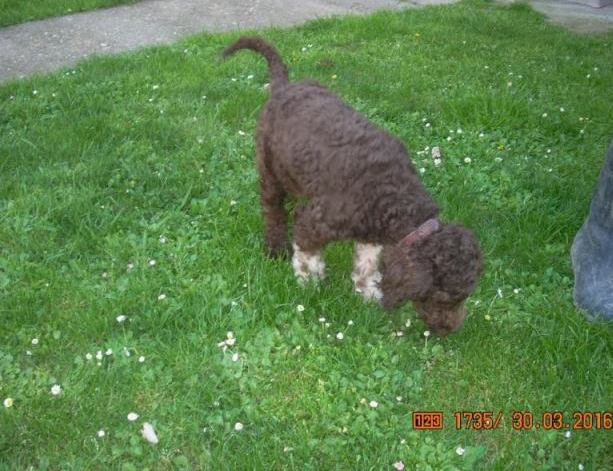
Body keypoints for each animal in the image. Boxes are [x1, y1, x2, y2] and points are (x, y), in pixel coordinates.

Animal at [222, 37, 480, 336]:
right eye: (445, 298)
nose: (451, 330)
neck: (393, 195)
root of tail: (284, 86)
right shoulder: (314, 222)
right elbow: (308, 256)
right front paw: (310, 286)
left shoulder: (370, 232)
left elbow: (367, 266)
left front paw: (367, 297)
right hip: (269, 169)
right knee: (273, 210)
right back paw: (275, 250)